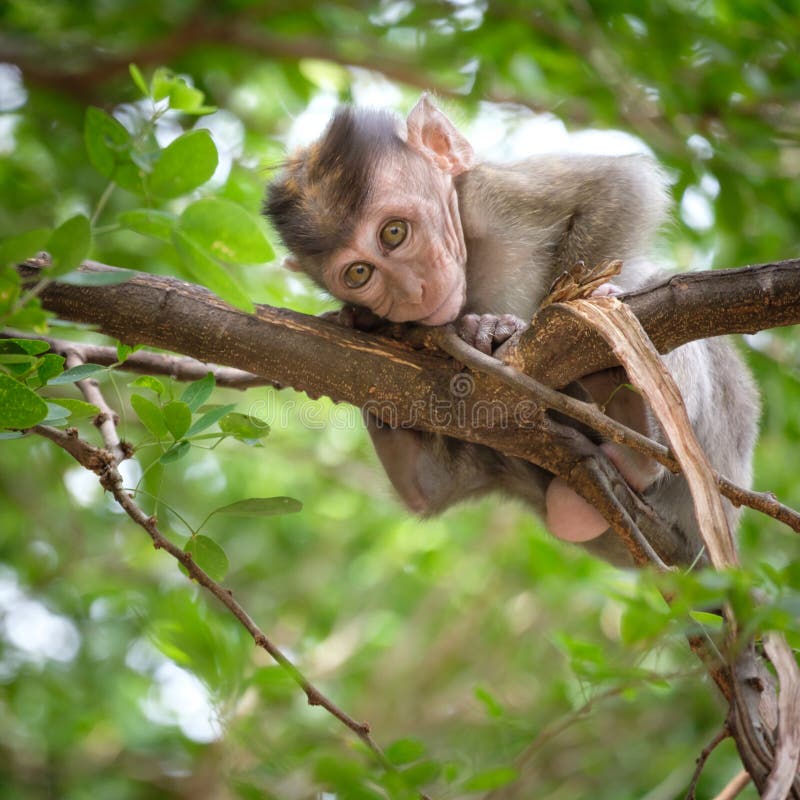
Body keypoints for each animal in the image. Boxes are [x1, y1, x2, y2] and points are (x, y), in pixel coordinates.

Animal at [264, 94, 759, 567]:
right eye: (359, 274)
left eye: (393, 233)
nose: (408, 292)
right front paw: (359, 320)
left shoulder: (493, 196)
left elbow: (620, 187)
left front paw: (536, 318)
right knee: (437, 487)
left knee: (653, 296)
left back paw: (632, 436)